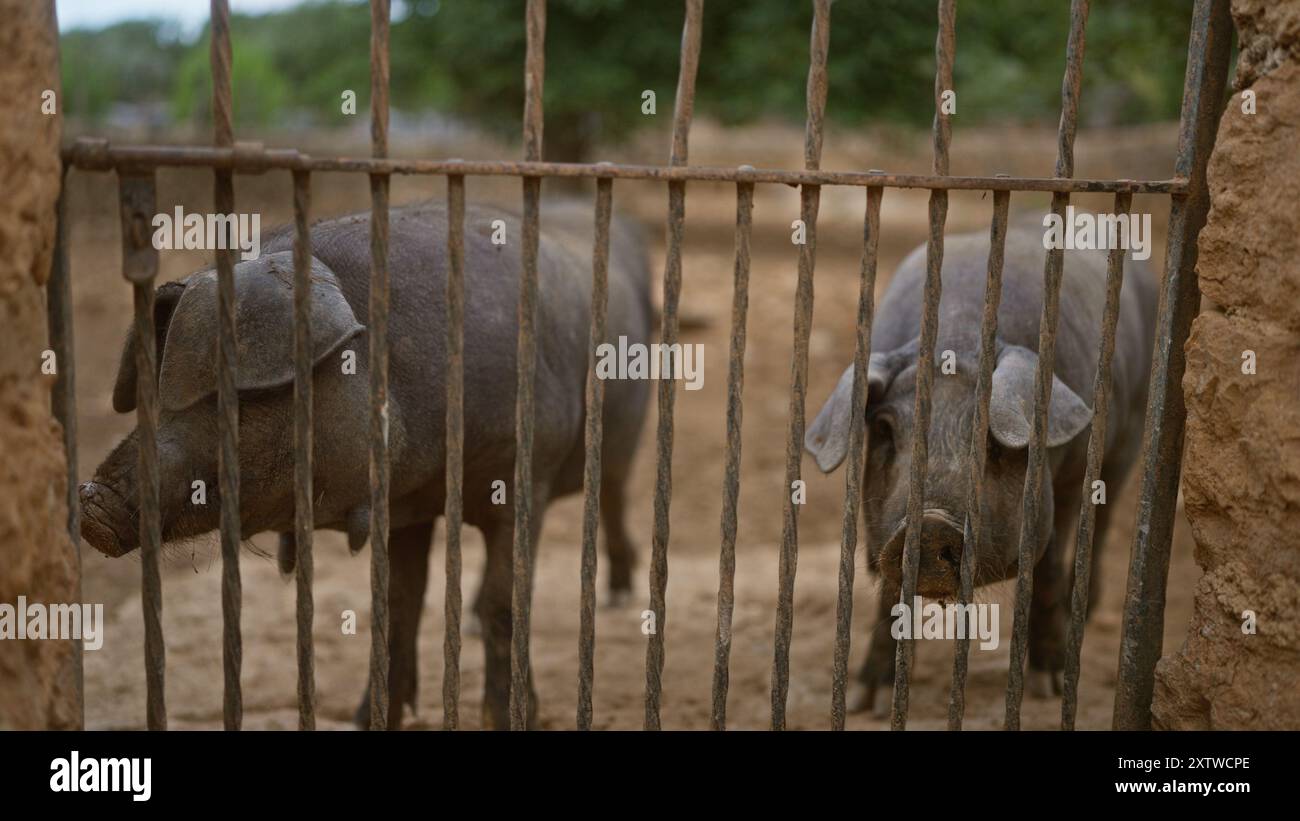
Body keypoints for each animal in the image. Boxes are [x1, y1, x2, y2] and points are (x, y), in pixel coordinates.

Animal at [79, 200, 653, 729]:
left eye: (239, 399)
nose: (92, 503)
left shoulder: (523, 473)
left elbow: (505, 602)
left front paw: (506, 718)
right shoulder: (405, 508)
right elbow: (398, 604)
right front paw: (368, 717)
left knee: (613, 495)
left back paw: (620, 594)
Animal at [805, 217, 1156, 714]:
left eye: (992, 440)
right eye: (886, 430)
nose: (930, 523)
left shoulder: (1055, 491)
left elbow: (1045, 571)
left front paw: (1048, 687)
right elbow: (891, 597)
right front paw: (866, 702)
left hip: (1128, 438)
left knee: (1100, 525)